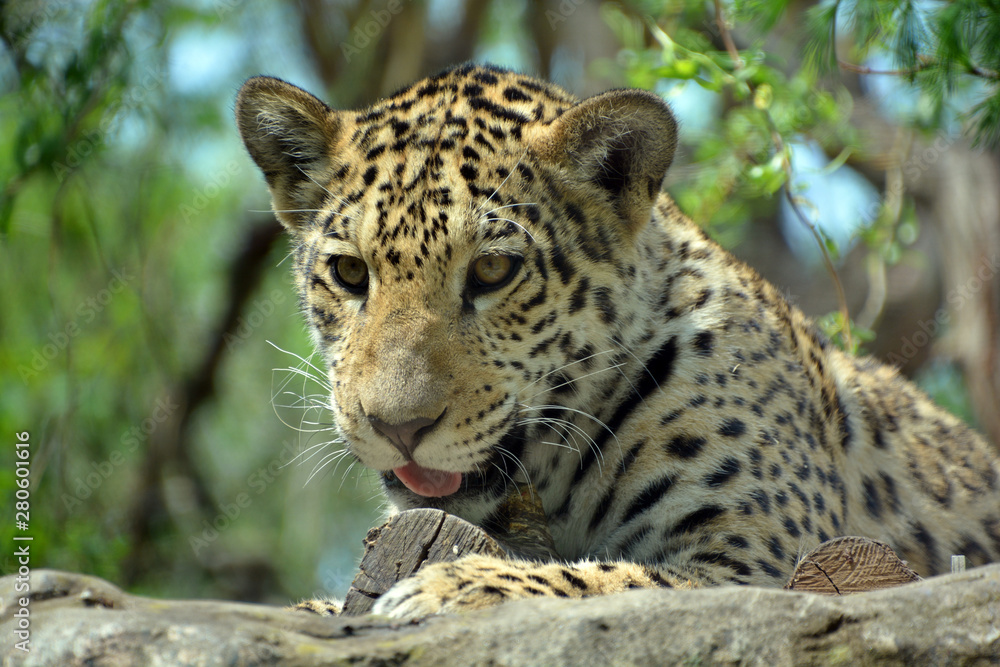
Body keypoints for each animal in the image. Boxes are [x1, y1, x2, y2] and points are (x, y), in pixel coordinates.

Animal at [235, 62, 1000, 620]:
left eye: (492, 271)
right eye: (348, 272)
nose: (398, 428)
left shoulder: (769, 562)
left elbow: (607, 581)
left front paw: (444, 588)